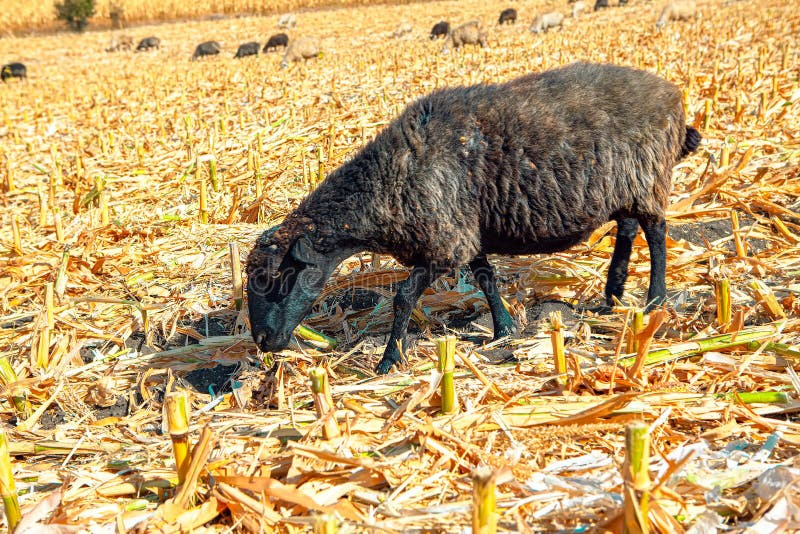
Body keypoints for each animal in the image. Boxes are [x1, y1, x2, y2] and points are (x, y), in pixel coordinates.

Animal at [245, 62, 702, 375]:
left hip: (648, 177)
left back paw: (654, 299)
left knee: (657, 234)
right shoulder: (465, 233)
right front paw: (503, 329)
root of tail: (672, 94)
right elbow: (485, 277)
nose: (263, 341)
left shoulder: (443, 242)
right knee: (627, 229)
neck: (386, 184)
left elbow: (403, 297)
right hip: (624, 187)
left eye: (280, 277)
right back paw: (612, 295)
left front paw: (390, 360)